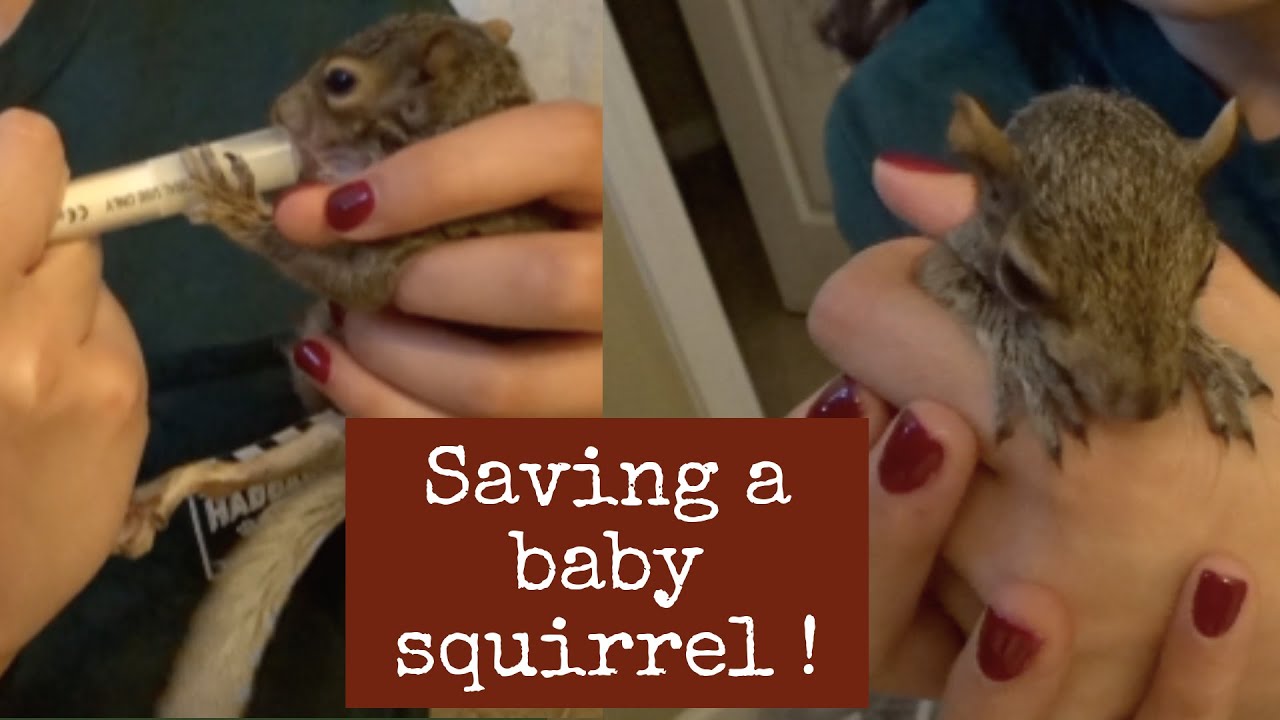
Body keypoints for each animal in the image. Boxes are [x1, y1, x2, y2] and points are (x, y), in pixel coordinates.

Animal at [916, 86, 1271, 463]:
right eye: (1020, 281)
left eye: (1207, 268)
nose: (1144, 405)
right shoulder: (946, 257)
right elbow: (973, 294)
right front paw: (1032, 366)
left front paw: (1212, 360)